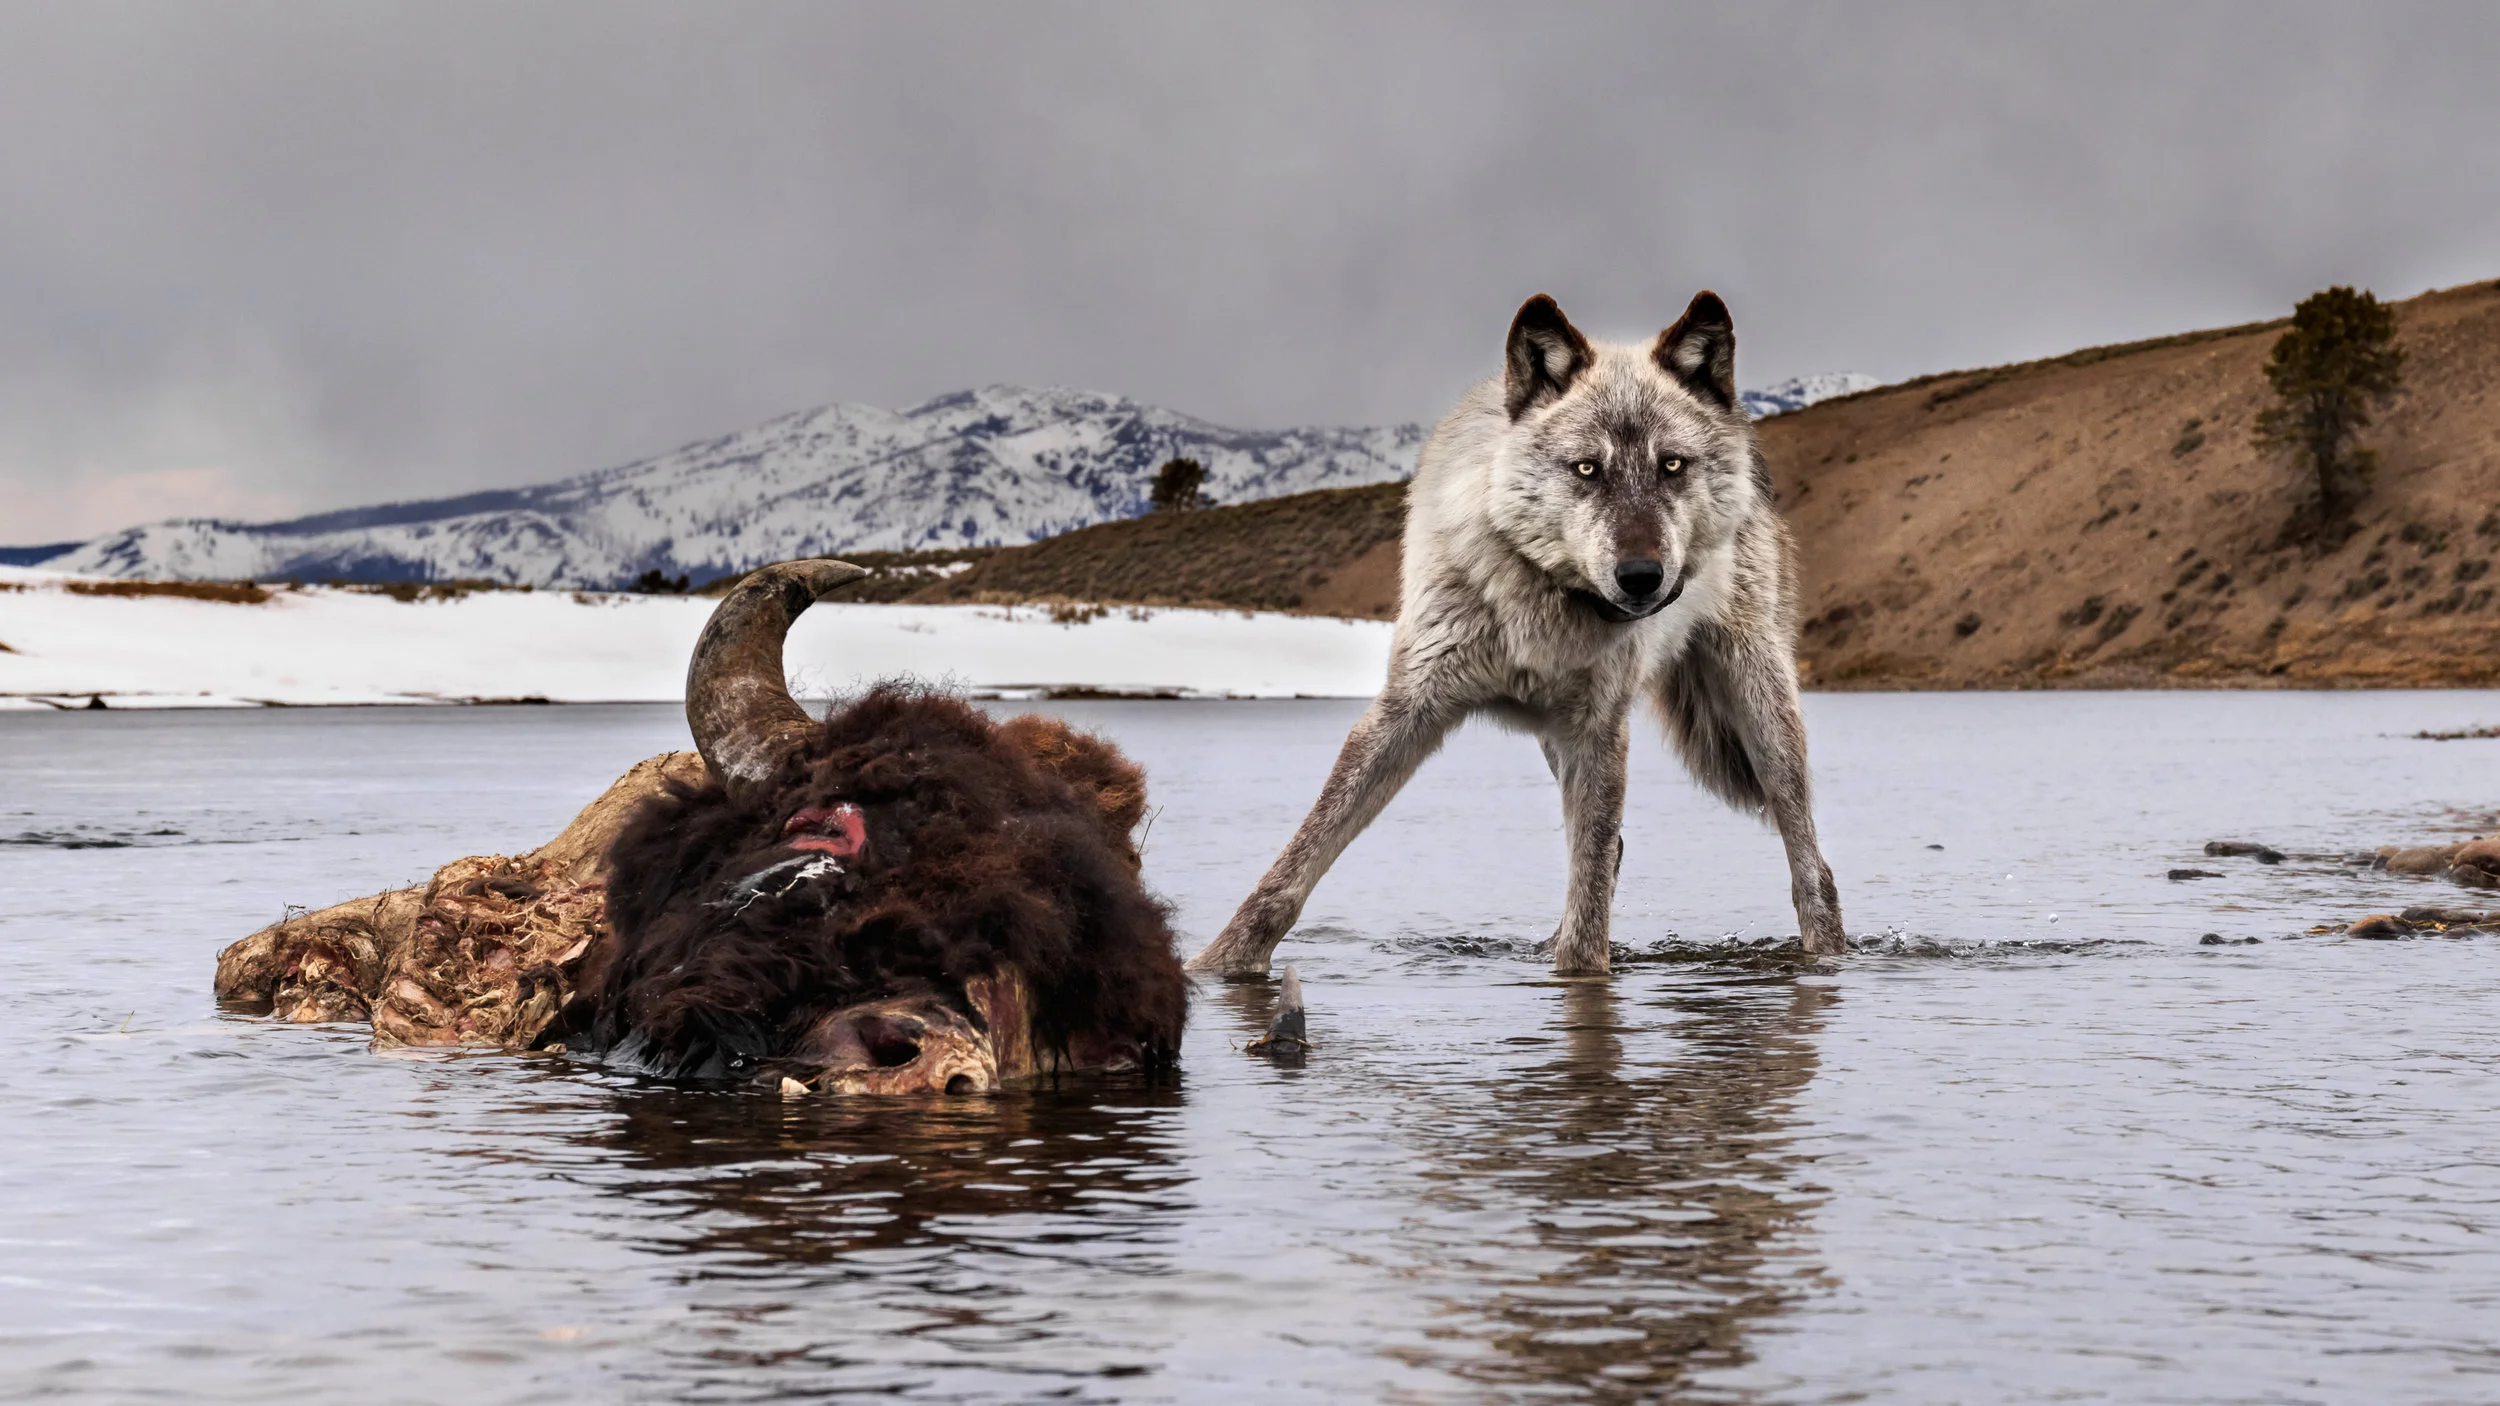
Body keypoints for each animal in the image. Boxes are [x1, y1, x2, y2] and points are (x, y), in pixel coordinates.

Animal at [1186, 291, 1845, 978]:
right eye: (1587, 468)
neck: (1541, 607)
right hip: (1562, 743)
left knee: (1810, 867)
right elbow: (1296, 863)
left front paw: (1580, 975)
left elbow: (1588, 916)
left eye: (1671, 466)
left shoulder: (1599, 732)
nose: (1641, 577)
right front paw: (1219, 963)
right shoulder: (1408, 709)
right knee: (1611, 853)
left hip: (1761, 712)